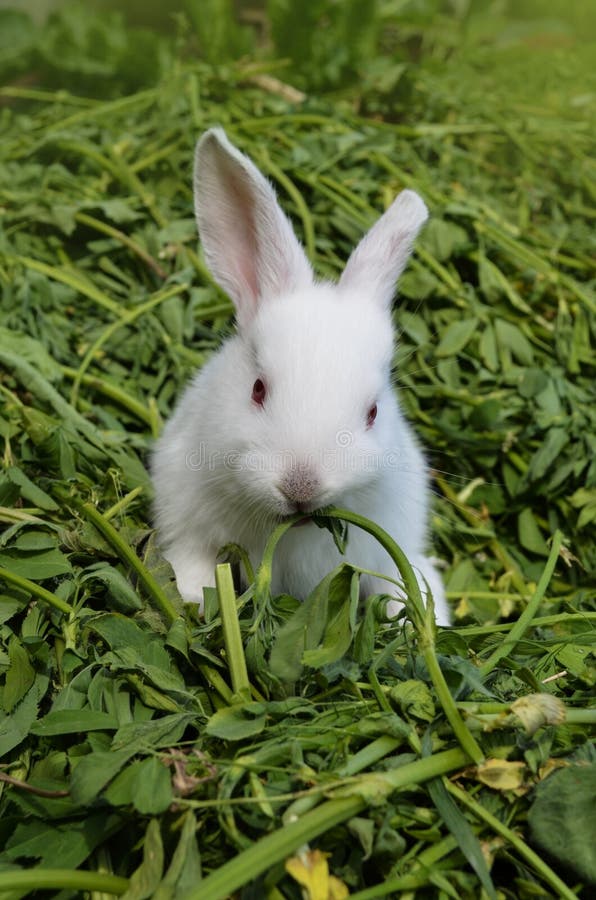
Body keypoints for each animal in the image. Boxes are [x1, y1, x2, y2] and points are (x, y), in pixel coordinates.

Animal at [151, 127, 450, 626]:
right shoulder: (188, 520)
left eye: (373, 412)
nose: (301, 488)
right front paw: (195, 599)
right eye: (257, 390)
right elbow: (194, 566)